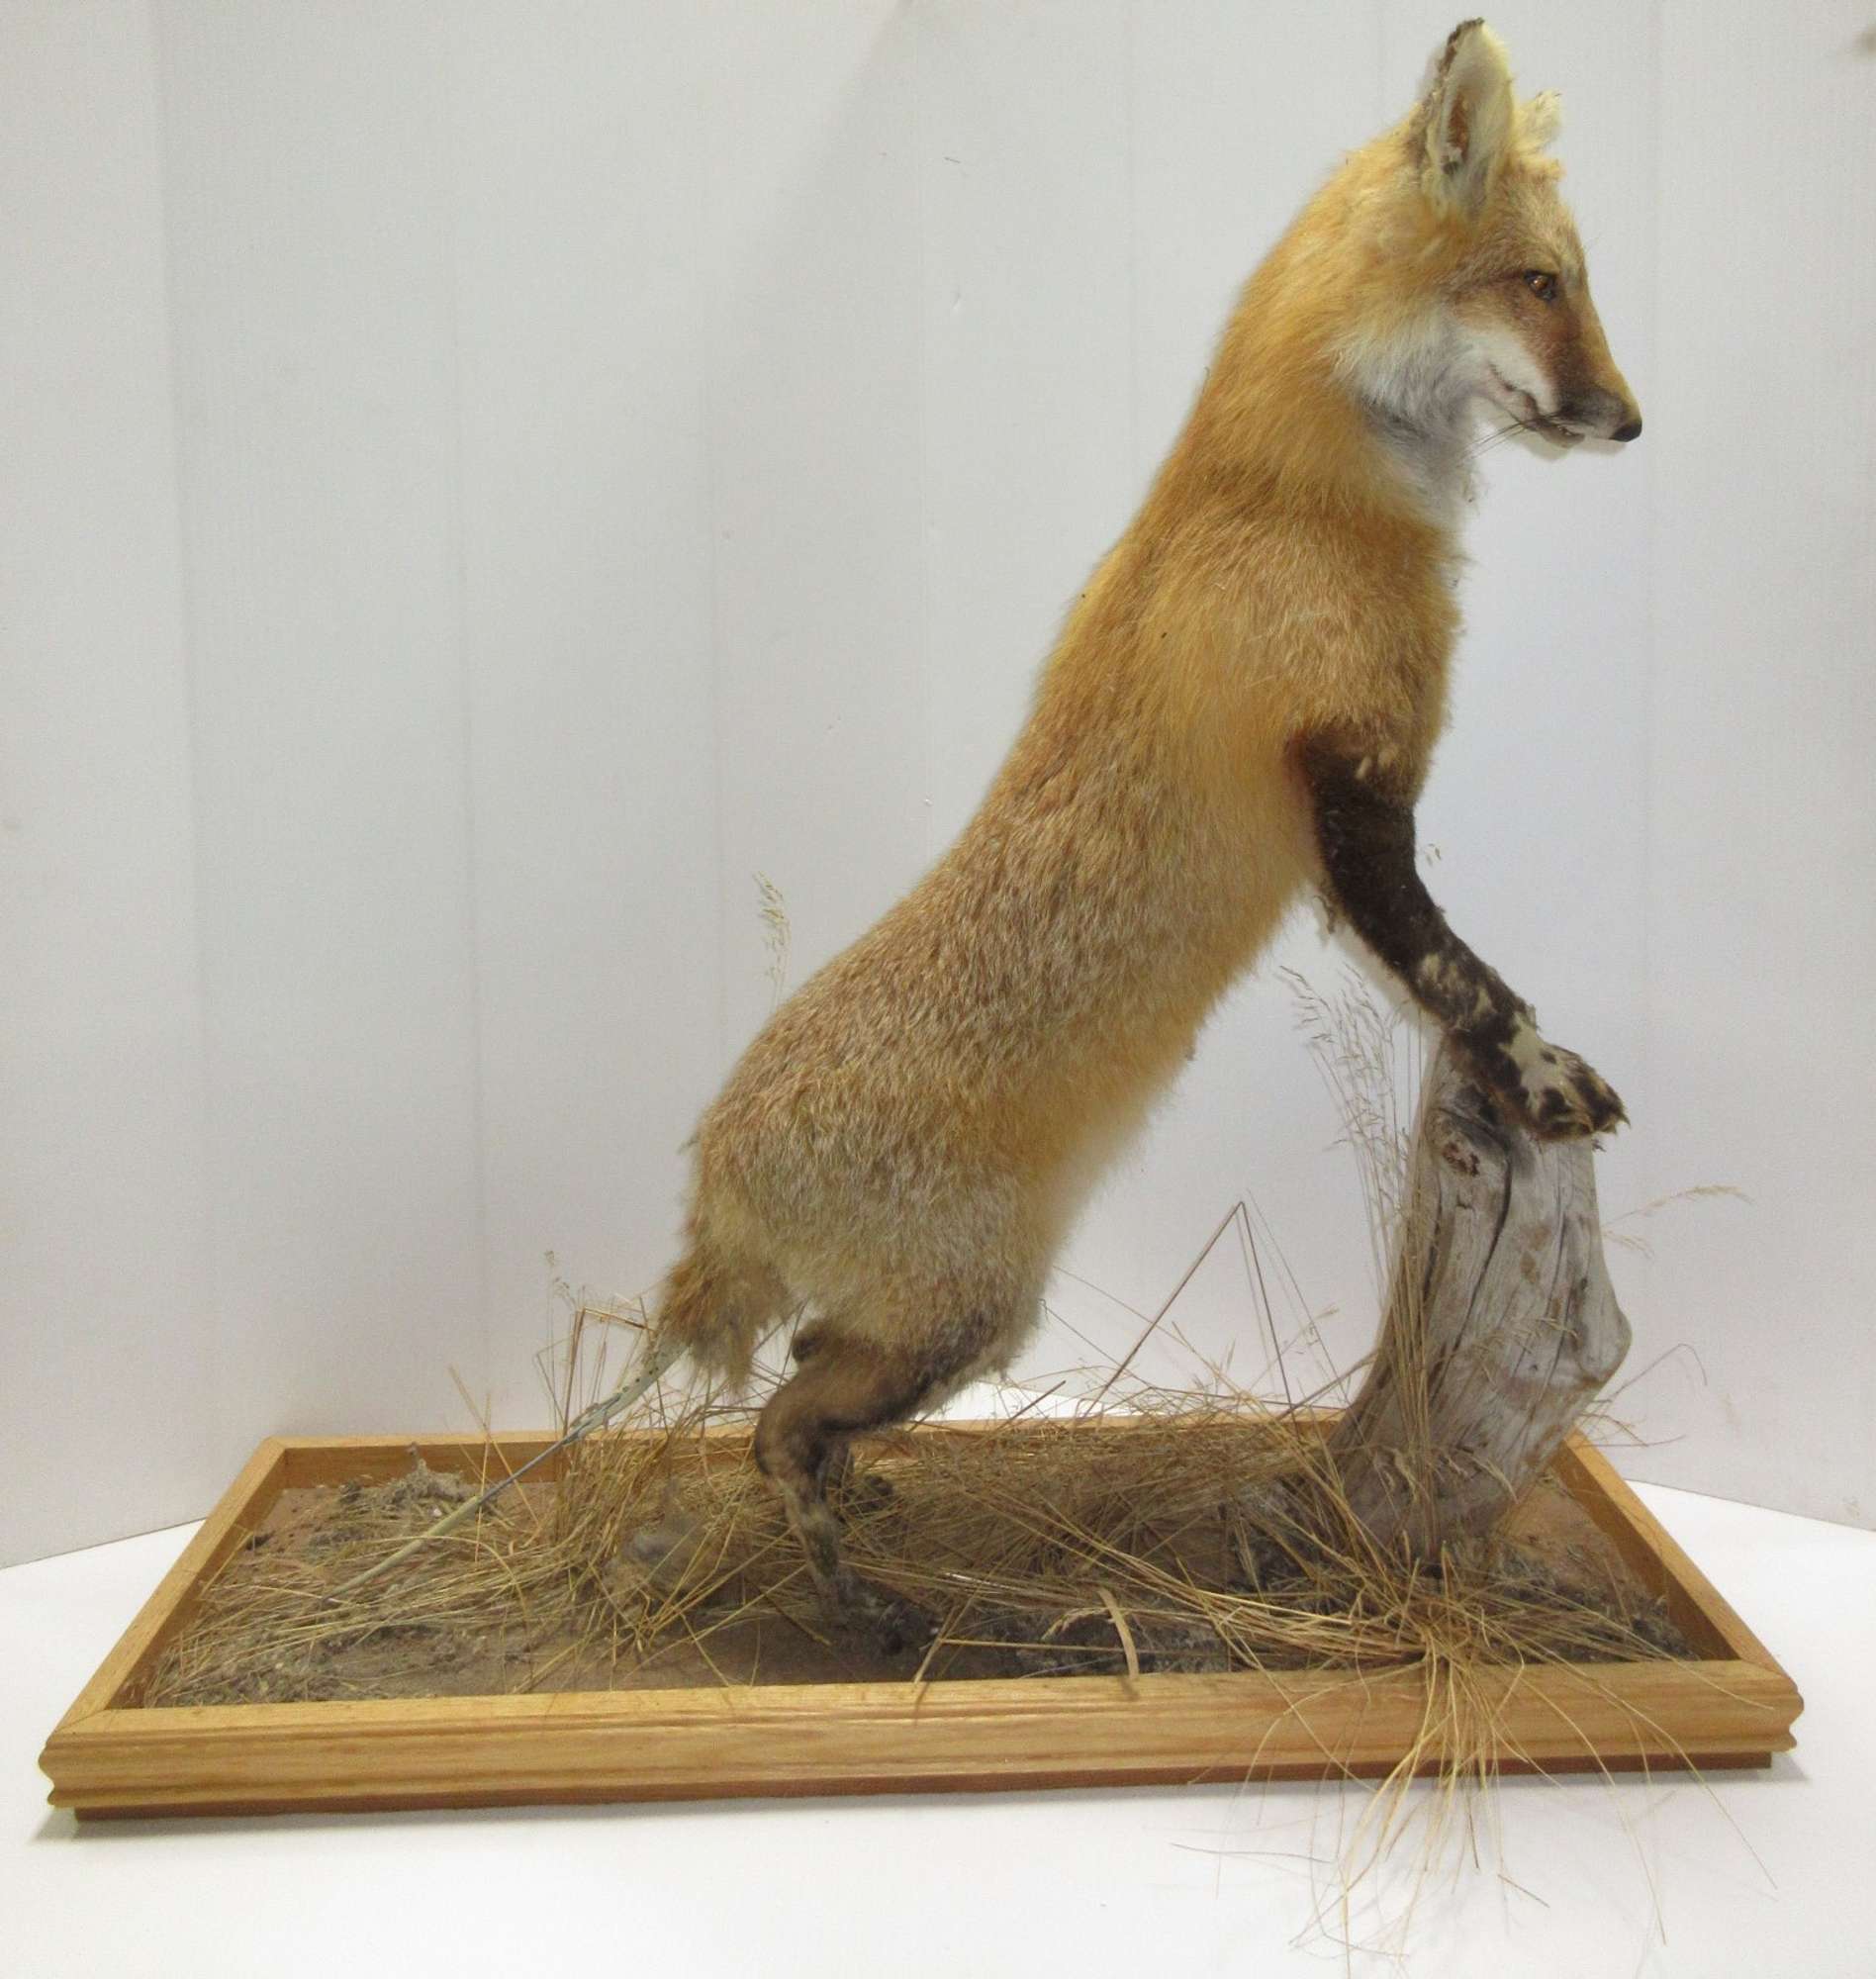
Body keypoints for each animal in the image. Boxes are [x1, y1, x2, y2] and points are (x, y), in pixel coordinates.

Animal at [645, 20, 1640, 1647]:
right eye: (1543, 283)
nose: (1629, 419)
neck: (1291, 496)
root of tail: (718, 1161)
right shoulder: (1356, 789)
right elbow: (1465, 980)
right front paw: (1544, 1075)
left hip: (924, 1327)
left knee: (793, 1377)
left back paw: (866, 1517)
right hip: (971, 1317)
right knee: (775, 1425)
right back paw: (856, 1601)